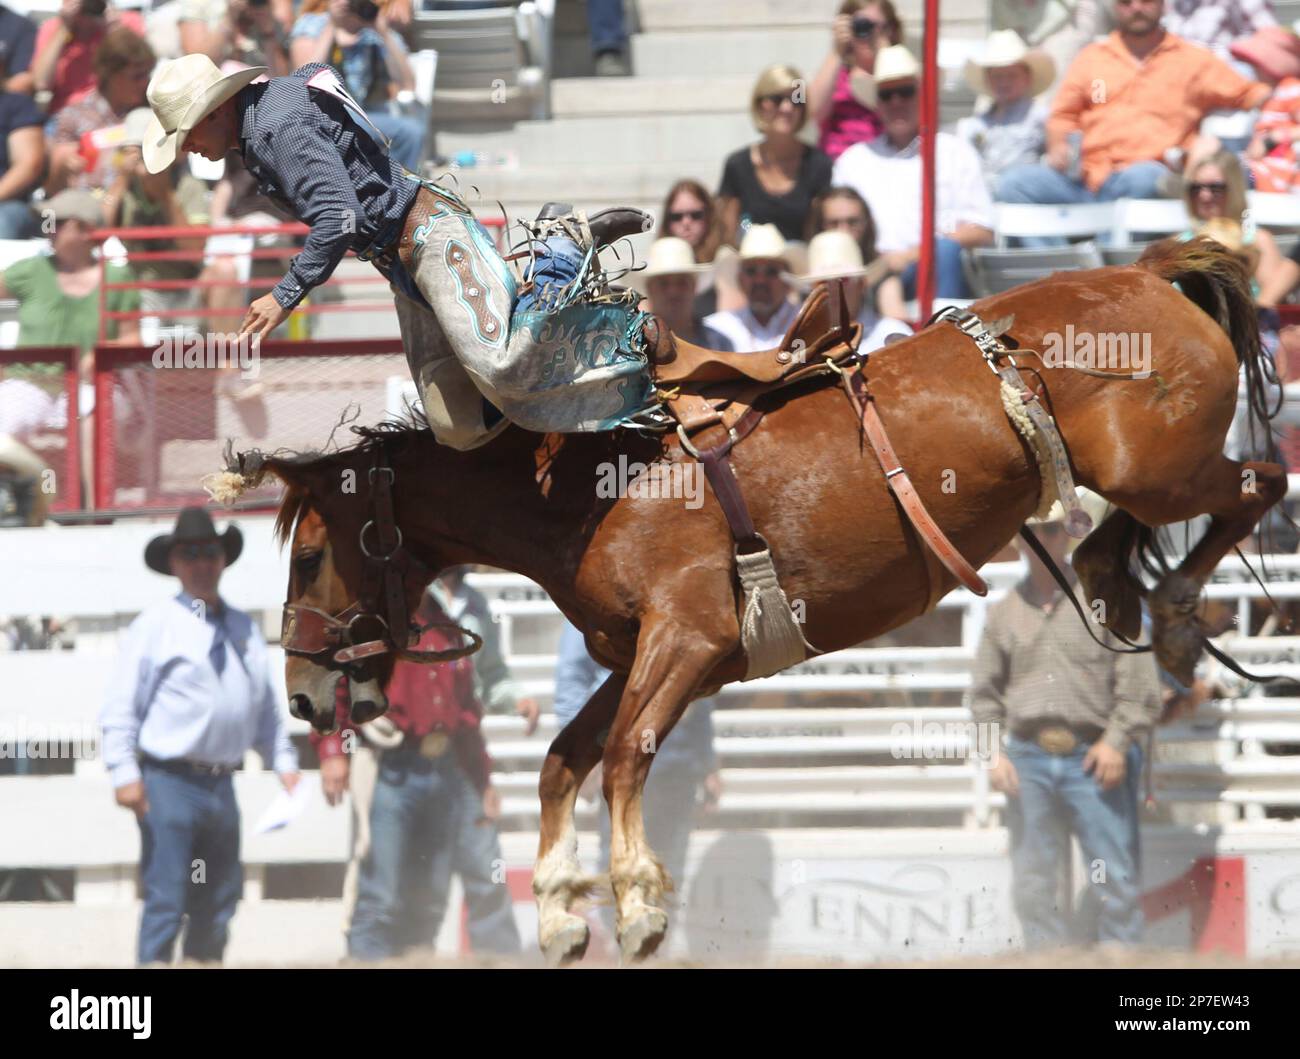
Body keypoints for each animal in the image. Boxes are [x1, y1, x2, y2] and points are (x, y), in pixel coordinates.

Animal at [211, 237, 1285, 965]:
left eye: (312, 554)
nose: (302, 693)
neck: (593, 483)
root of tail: (1148, 272)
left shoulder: (687, 642)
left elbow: (625, 756)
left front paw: (638, 901)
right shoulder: (638, 654)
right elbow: (565, 758)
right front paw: (557, 908)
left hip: (1165, 471)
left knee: (1260, 485)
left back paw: (1175, 607)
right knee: (1168, 518)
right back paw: (1112, 579)